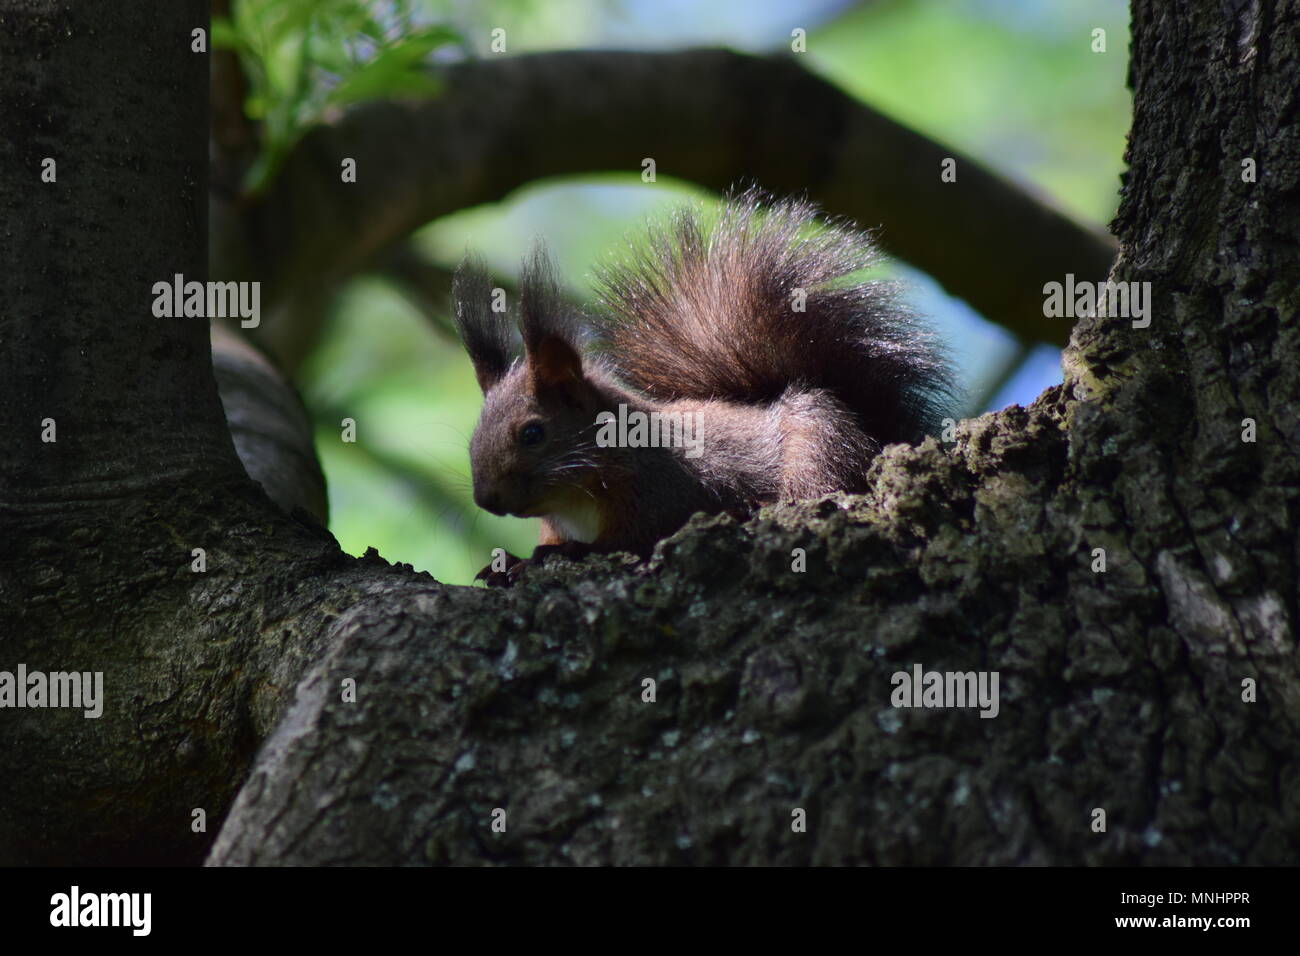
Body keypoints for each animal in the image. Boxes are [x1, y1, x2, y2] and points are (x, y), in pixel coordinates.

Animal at [452, 190, 956, 585]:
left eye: (532, 432)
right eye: (472, 435)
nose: (485, 500)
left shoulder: (666, 492)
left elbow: (633, 541)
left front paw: (561, 554)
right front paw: (508, 562)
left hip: (819, 442)